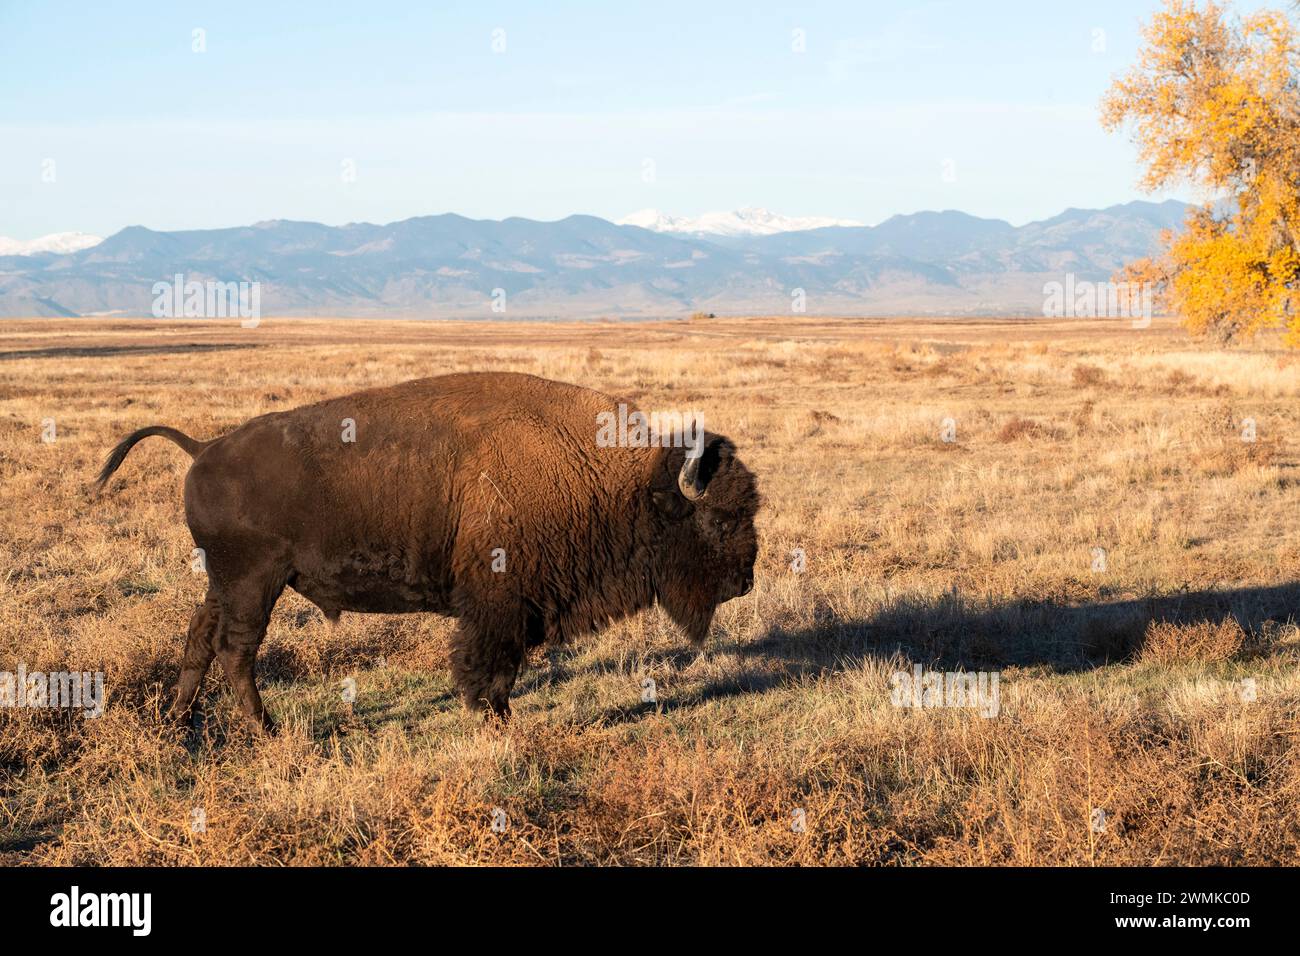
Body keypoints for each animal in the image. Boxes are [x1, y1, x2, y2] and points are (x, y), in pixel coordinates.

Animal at [94, 372, 761, 729]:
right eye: (718, 519)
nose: (745, 580)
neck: (619, 480)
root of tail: (203, 447)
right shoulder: (498, 605)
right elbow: (490, 666)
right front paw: (495, 720)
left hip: (225, 583)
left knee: (200, 640)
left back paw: (178, 722)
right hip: (255, 582)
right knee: (237, 650)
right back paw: (267, 730)